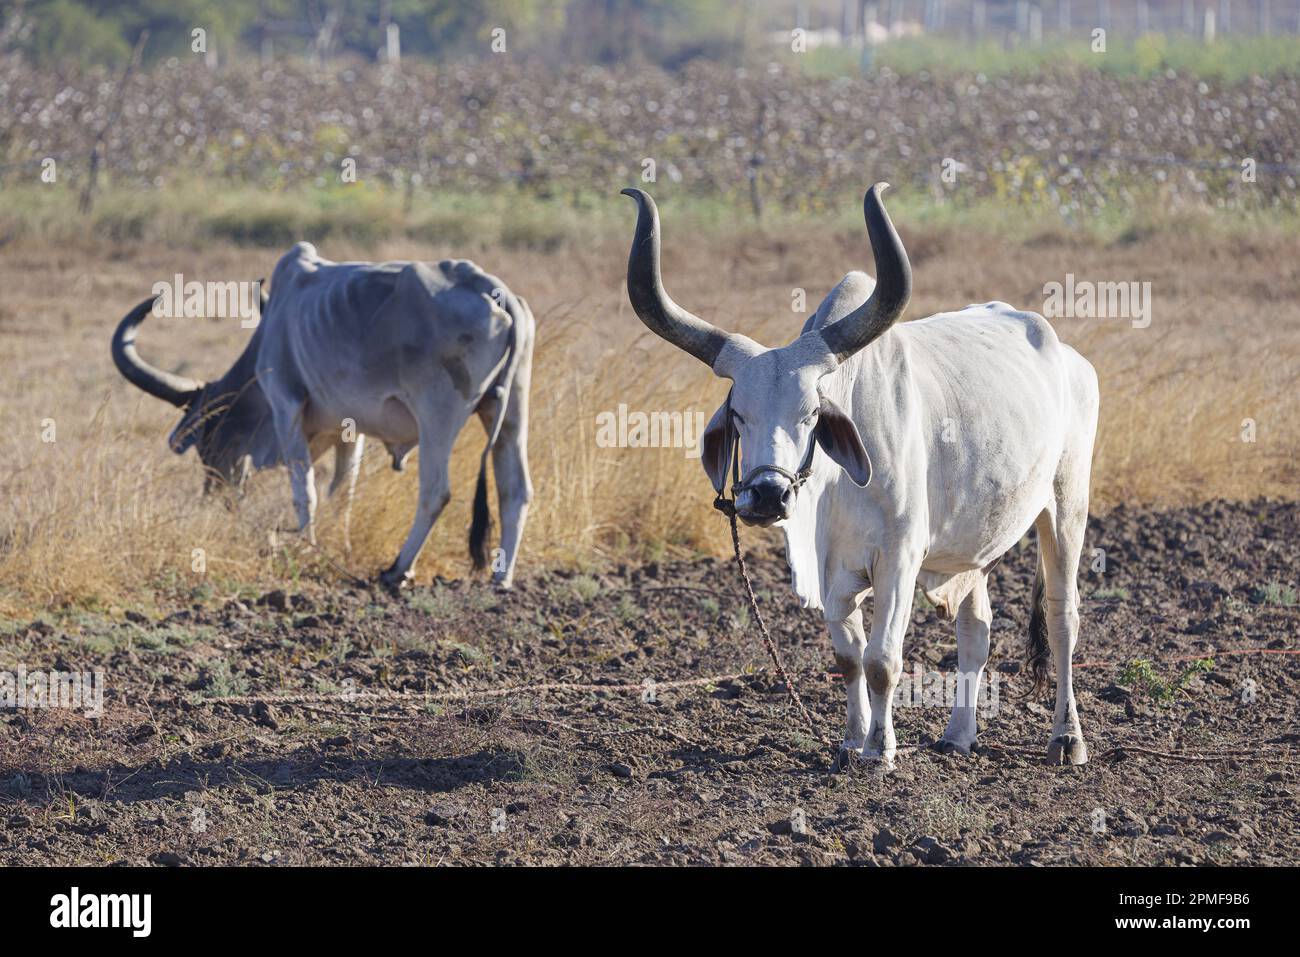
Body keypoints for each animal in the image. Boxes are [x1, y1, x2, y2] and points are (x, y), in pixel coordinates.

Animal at [111, 242, 534, 591]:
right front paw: (339, 544)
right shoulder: (351, 429)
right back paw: (501, 577)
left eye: (209, 440)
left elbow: (306, 490)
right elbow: (342, 492)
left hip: (437, 416)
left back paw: (397, 570)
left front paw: (305, 546)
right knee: (515, 488)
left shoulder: (285, 404)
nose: (217, 497)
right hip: (511, 411)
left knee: (436, 491)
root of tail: (491, 288)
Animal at [621, 184, 1099, 769]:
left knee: (1062, 618)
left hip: (1066, 504)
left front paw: (880, 750)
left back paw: (1067, 738)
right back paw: (958, 734)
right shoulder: (832, 572)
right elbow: (848, 657)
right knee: (975, 628)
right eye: (738, 413)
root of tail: (1069, 357)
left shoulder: (899, 557)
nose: (766, 495)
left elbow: (881, 660)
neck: (834, 490)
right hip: (974, 548)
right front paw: (851, 742)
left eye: (811, 412)